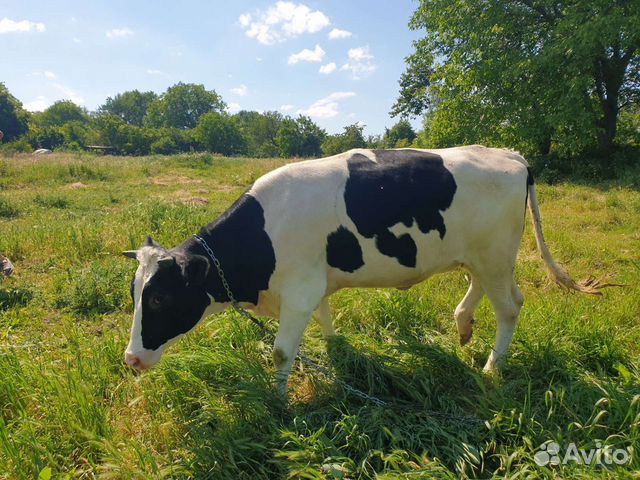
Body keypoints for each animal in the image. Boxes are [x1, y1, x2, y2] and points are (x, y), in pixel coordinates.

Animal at [122, 146, 604, 396]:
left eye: (160, 297)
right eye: (135, 292)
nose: (130, 359)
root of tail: (509, 153)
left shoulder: (299, 290)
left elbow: (281, 352)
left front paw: (278, 401)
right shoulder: (313, 286)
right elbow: (326, 323)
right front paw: (339, 353)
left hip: (496, 253)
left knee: (510, 307)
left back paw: (491, 368)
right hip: (479, 254)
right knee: (478, 287)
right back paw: (464, 326)